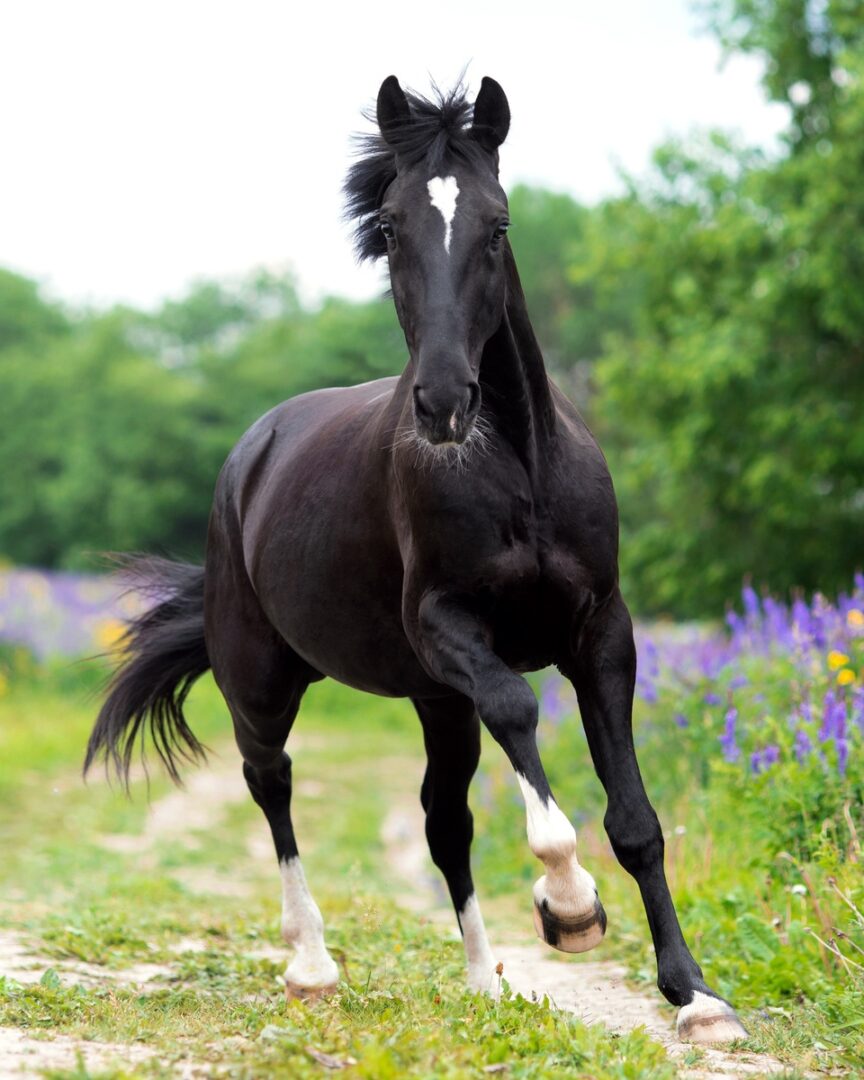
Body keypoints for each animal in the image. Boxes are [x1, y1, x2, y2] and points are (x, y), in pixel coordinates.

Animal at [86, 75, 746, 1045]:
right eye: (392, 227)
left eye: (498, 223)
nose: (441, 402)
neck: (518, 469)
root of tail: (253, 453)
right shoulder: (447, 630)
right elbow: (521, 715)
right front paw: (570, 908)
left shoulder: (601, 633)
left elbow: (633, 818)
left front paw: (697, 998)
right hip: (263, 680)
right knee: (272, 784)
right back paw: (313, 967)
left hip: (437, 703)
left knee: (444, 823)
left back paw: (483, 982)